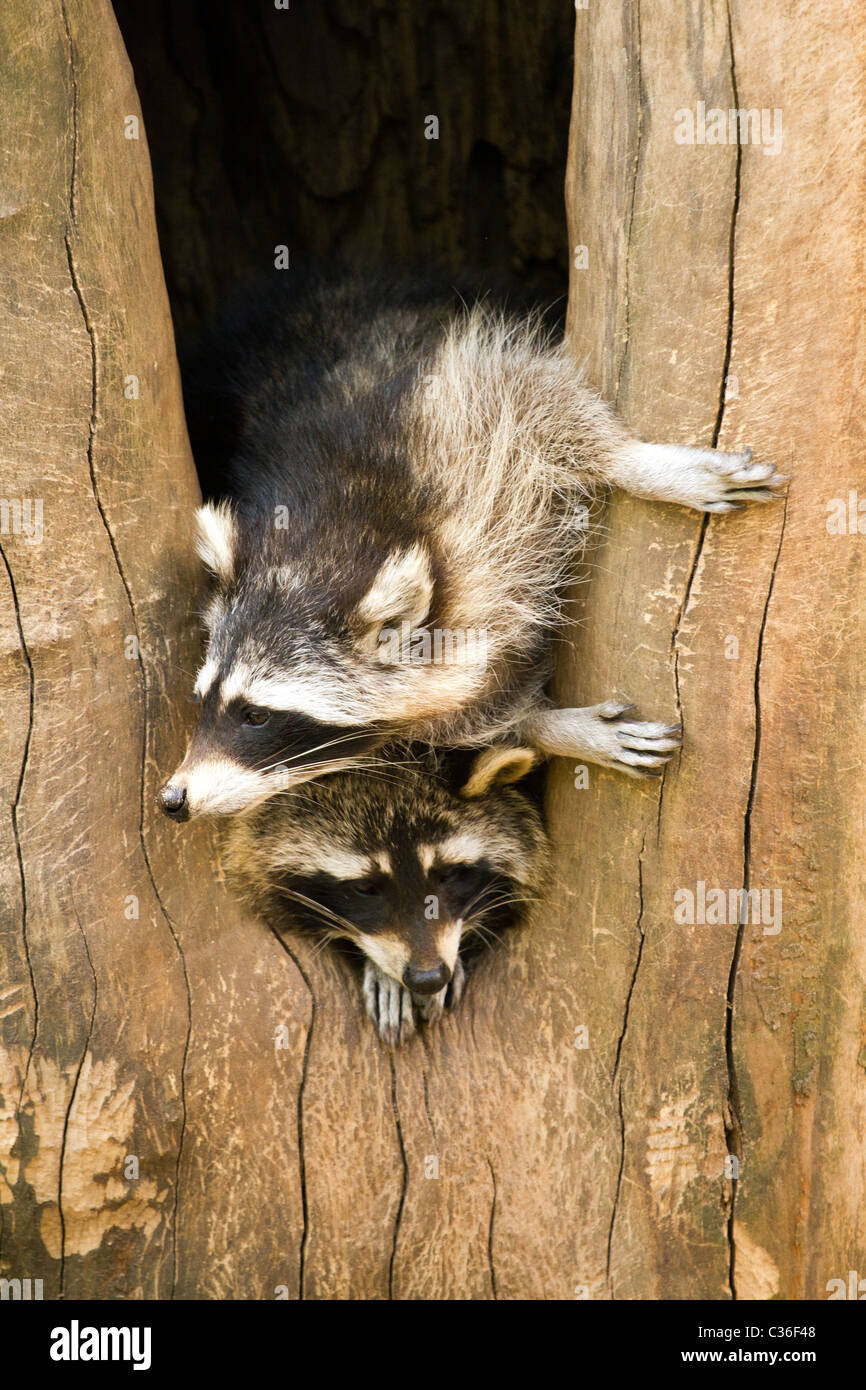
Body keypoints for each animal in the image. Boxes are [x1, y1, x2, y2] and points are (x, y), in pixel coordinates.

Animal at [158, 268, 785, 821]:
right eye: (202, 700)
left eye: (256, 716)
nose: (174, 799)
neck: (329, 533)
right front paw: (551, 726)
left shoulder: (444, 418)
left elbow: (540, 397)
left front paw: (639, 462)